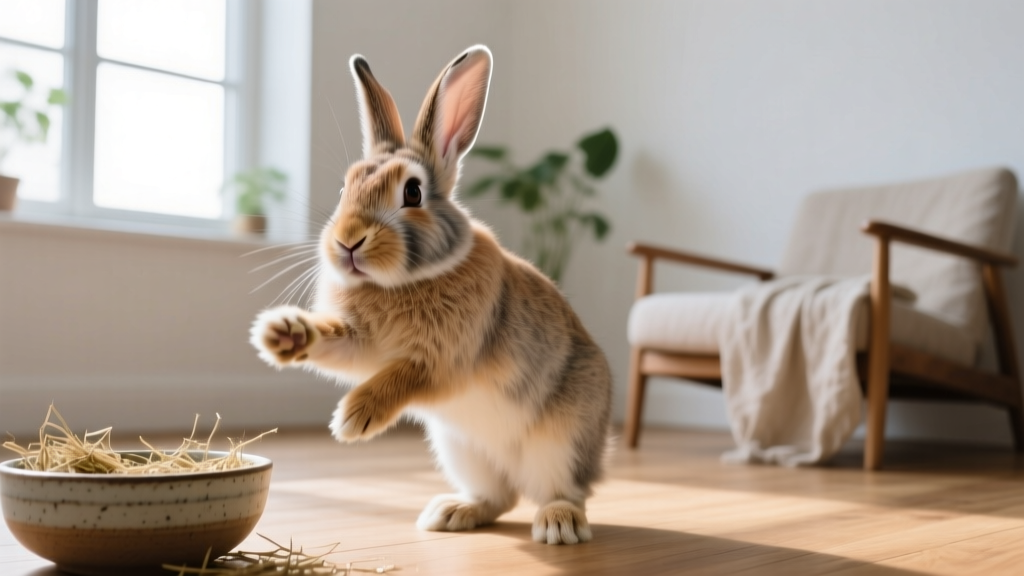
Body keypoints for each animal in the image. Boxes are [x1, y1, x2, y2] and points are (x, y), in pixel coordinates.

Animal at [250, 45, 611, 545]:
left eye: (413, 191)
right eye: (345, 187)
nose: (347, 241)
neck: (399, 282)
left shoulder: (446, 358)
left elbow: (405, 376)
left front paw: (353, 418)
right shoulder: (363, 343)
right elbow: (338, 343)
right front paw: (282, 335)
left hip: (563, 441)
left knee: (564, 490)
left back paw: (559, 525)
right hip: (463, 452)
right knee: (499, 498)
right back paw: (451, 512)